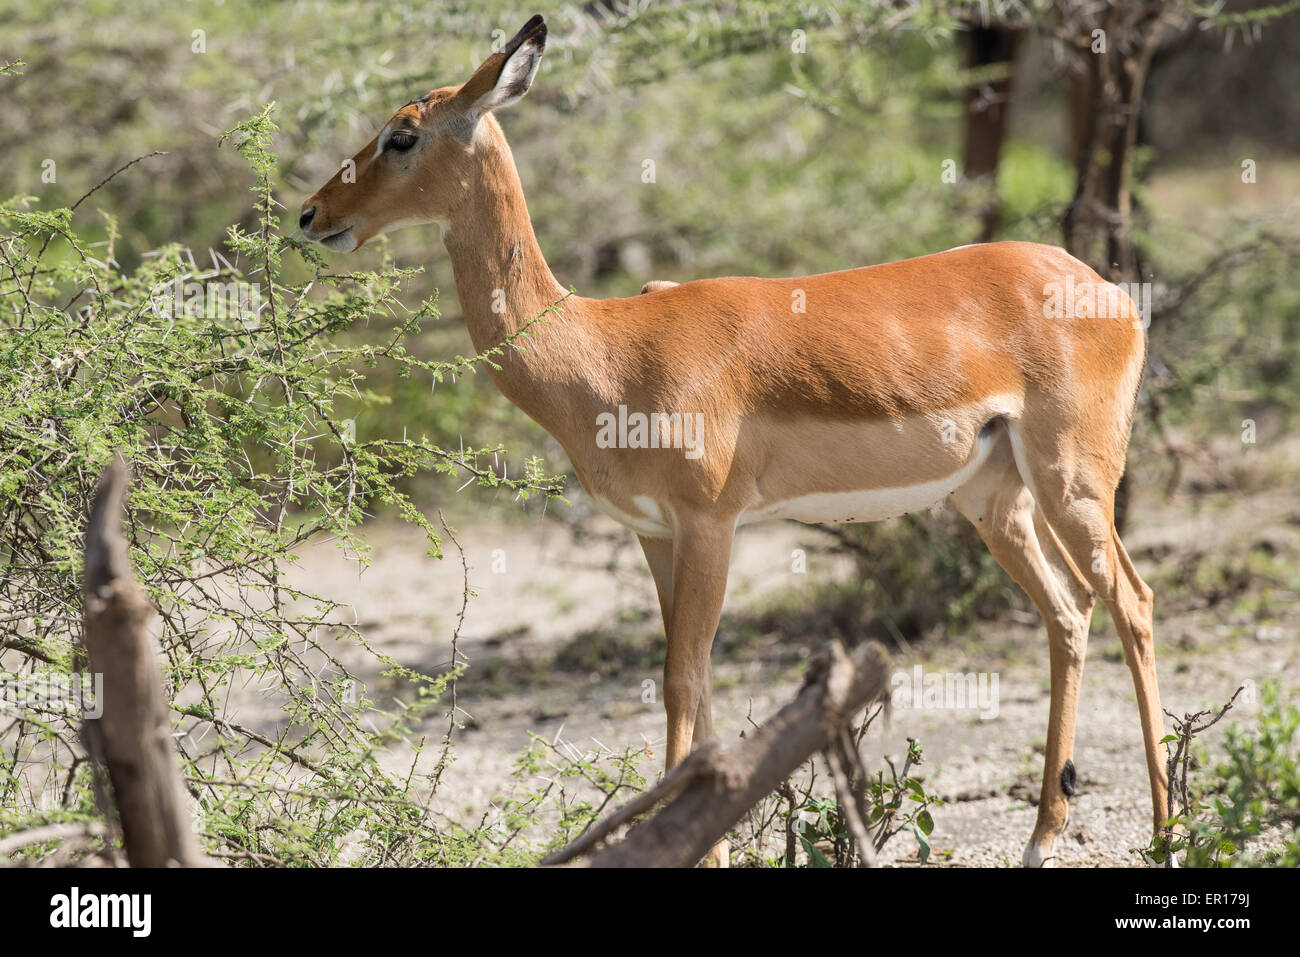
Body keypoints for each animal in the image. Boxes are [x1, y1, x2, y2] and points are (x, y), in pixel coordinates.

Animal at [301, 14, 1170, 868]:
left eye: (403, 134)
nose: (311, 214)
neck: (602, 347)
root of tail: (1107, 289)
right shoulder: (657, 534)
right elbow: (698, 681)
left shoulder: (709, 524)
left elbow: (681, 680)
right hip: (995, 500)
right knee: (1070, 611)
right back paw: (1044, 833)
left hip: (1072, 481)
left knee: (1132, 600)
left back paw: (1168, 830)